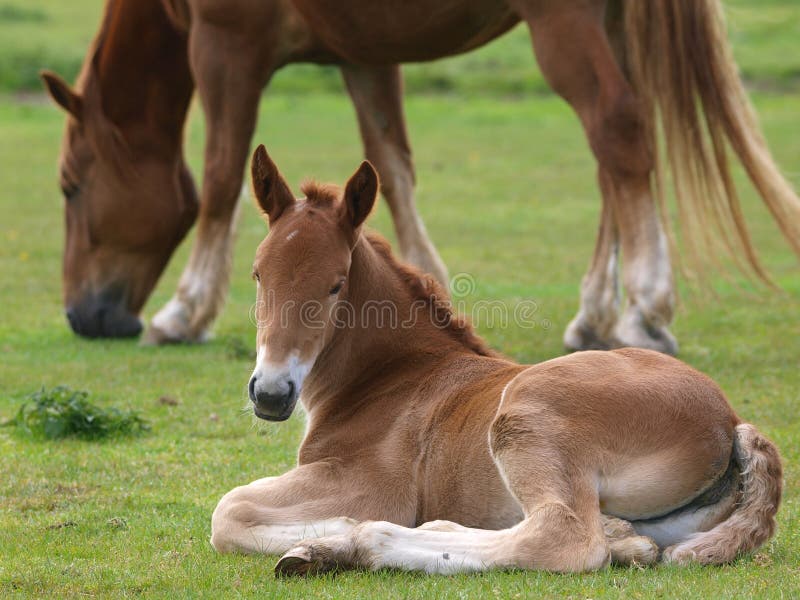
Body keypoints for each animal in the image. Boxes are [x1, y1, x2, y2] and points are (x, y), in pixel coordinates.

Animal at [41, 0, 800, 351]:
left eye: (70, 187)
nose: (81, 315)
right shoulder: (362, 53)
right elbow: (392, 167)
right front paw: (426, 283)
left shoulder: (226, 46)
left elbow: (223, 174)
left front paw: (186, 309)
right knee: (613, 159)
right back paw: (594, 315)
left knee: (618, 130)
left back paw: (645, 308)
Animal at [209, 145, 782, 575]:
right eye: (258, 274)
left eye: (335, 284)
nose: (271, 393)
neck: (390, 379)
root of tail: (730, 420)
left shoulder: (365, 481)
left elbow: (229, 511)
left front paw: (339, 533)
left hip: (522, 413)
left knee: (565, 538)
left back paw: (362, 544)